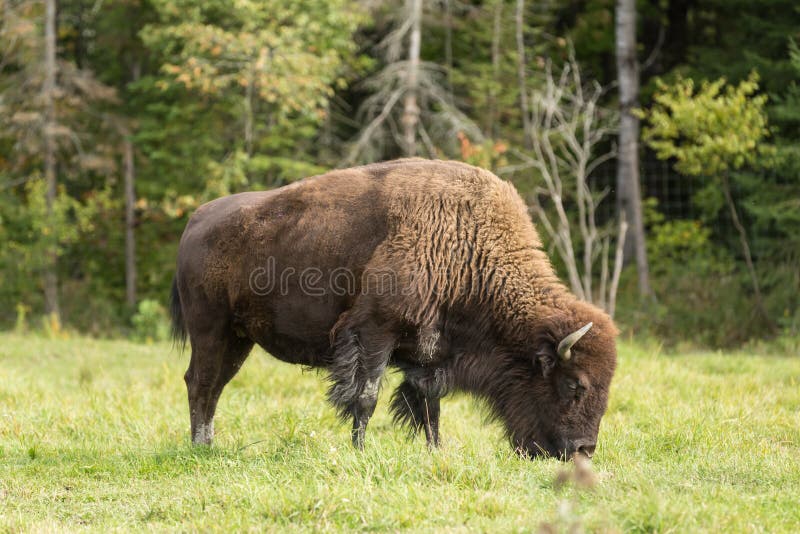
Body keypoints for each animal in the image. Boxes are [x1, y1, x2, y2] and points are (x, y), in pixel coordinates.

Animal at [170, 158, 618, 459]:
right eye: (575, 384)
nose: (583, 449)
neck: (467, 244)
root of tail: (196, 220)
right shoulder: (374, 333)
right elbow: (366, 396)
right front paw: (360, 452)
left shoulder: (429, 353)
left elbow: (429, 406)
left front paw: (436, 452)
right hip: (210, 331)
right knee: (201, 383)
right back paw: (200, 448)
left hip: (239, 339)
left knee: (214, 385)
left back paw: (207, 444)